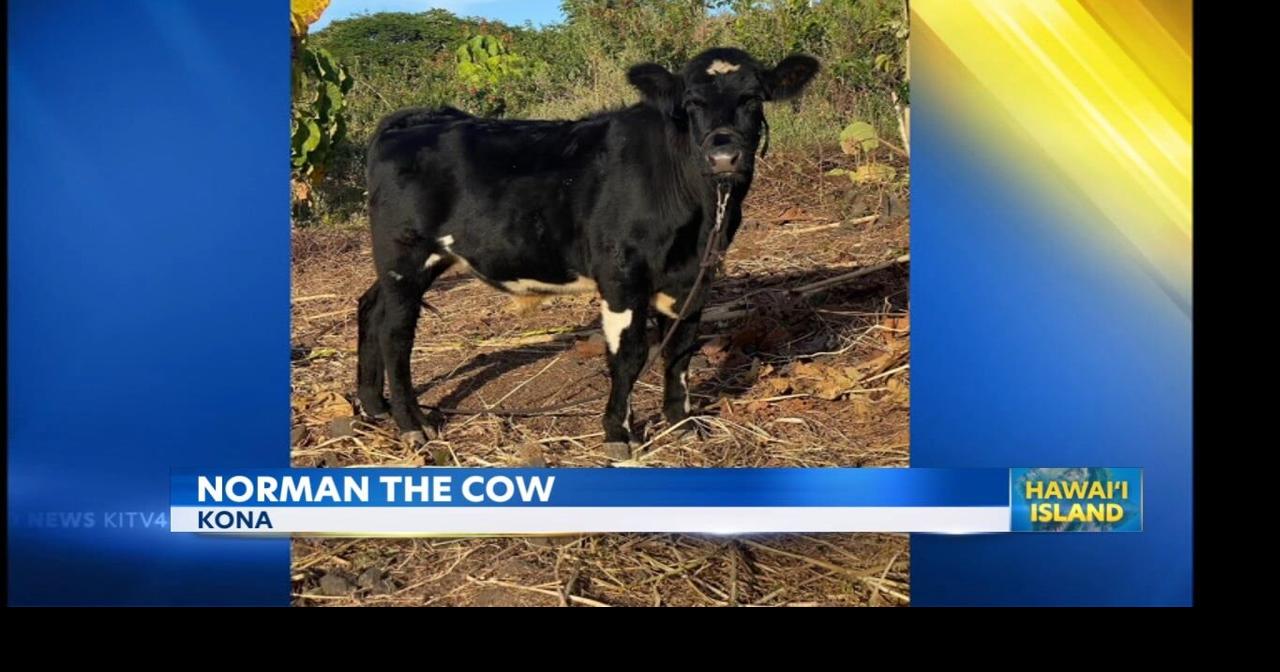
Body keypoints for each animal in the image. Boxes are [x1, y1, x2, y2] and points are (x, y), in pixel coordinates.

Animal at [357, 47, 819, 455]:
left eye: (752, 98)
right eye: (691, 102)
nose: (724, 156)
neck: (701, 213)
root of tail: (414, 119)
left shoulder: (695, 275)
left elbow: (680, 349)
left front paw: (681, 423)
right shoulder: (620, 274)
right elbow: (629, 354)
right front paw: (618, 433)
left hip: (421, 260)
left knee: (370, 307)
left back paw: (374, 404)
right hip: (404, 255)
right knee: (396, 333)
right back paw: (411, 423)